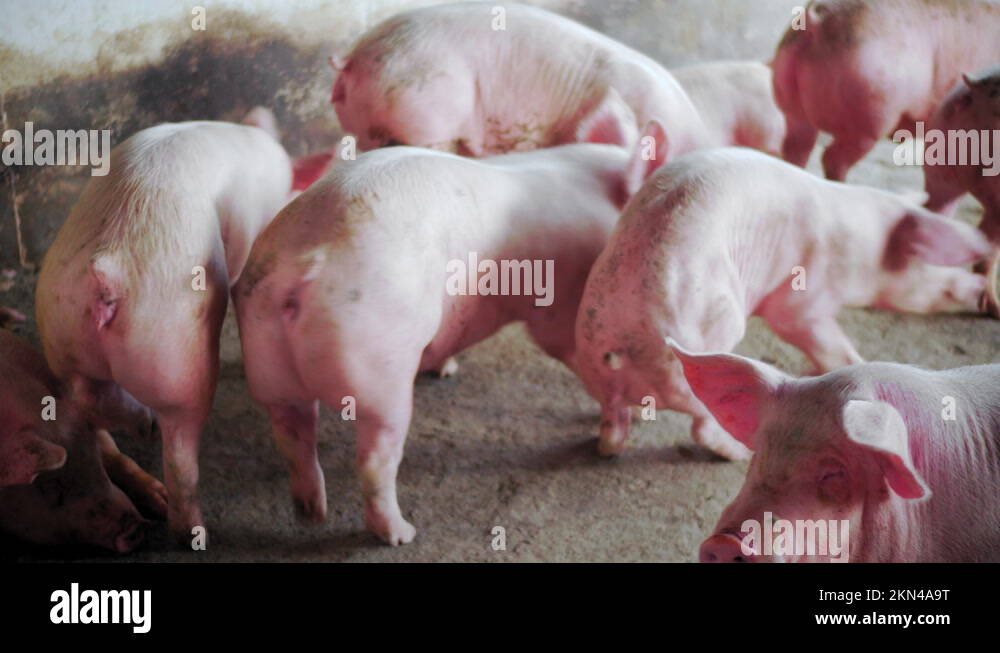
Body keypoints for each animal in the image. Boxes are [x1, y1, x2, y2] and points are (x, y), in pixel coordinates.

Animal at [36, 109, 295, 544]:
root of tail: (106, 274)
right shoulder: (247, 221)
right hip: (176, 352)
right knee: (180, 451)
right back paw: (191, 525)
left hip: (60, 330)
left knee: (85, 402)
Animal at [233, 108, 667, 545]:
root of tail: (303, 266)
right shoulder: (558, 302)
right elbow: (572, 352)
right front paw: (623, 428)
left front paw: (446, 367)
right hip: (377, 367)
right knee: (374, 458)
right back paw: (400, 533)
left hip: (266, 357)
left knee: (293, 436)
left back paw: (311, 513)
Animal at [576, 147, 992, 462]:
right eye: (940, 273)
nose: (984, 292)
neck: (864, 247)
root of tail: (618, 340)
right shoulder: (802, 297)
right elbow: (821, 340)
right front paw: (853, 366)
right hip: (691, 363)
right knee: (703, 425)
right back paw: (740, 455)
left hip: (597, 371)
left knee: (611, 428)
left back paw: (615, 435)